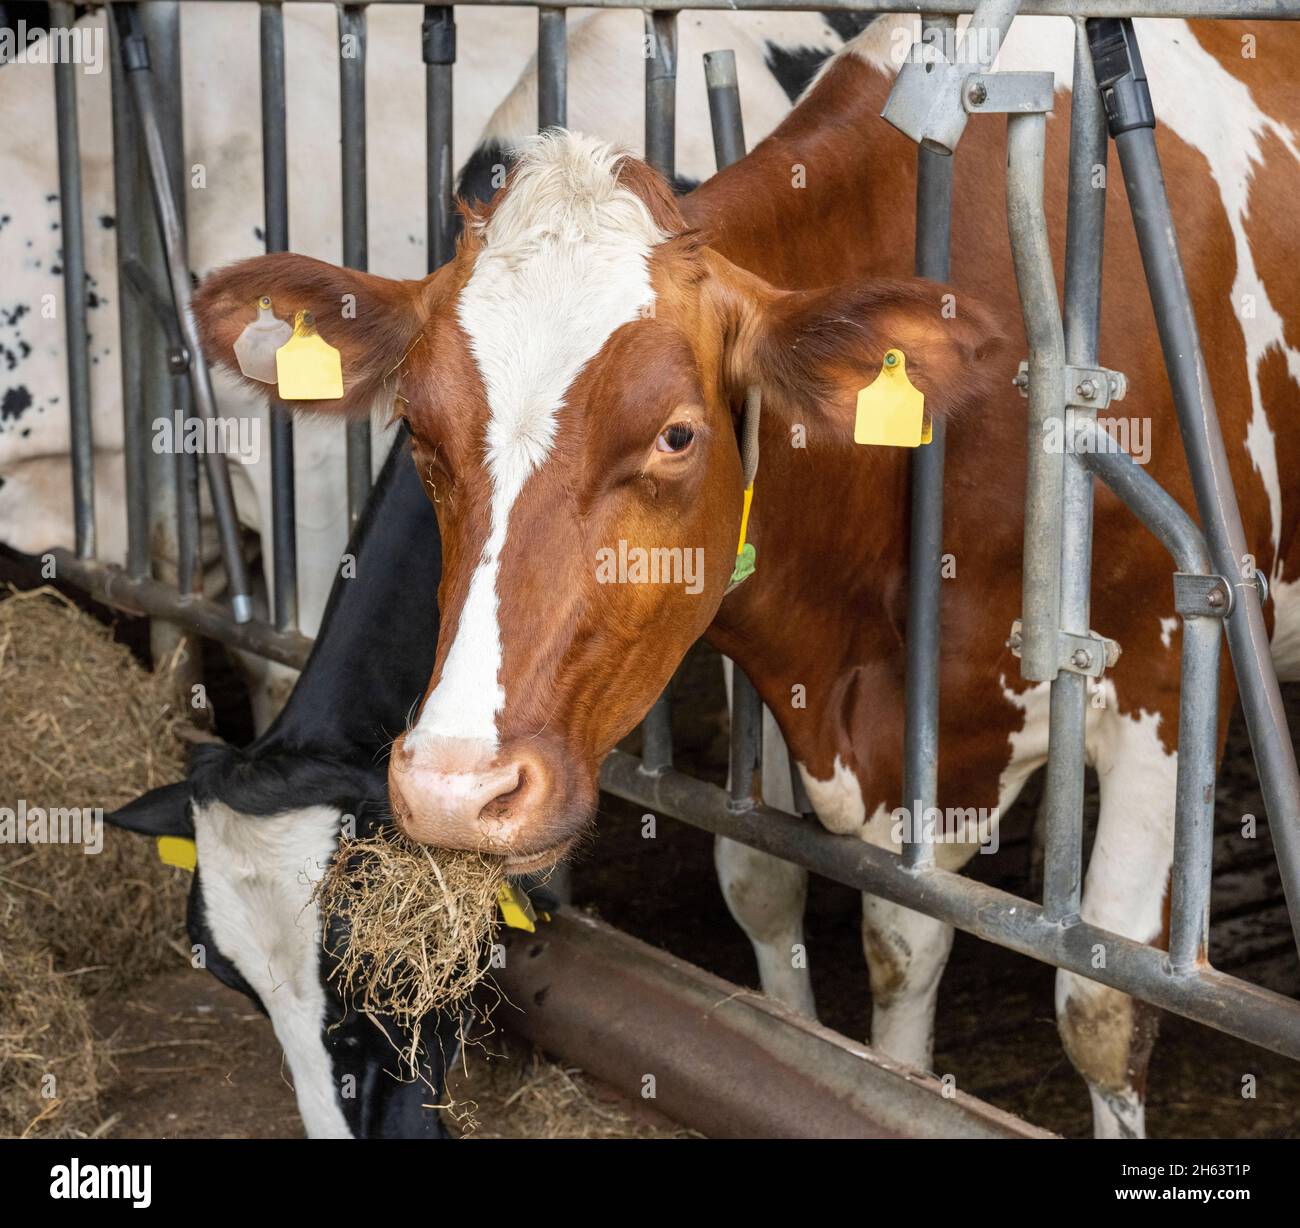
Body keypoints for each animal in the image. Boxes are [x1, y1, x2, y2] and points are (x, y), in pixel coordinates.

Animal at [187, 14, 1300, 1140]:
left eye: (677, 433)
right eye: (417, 430)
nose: (456, 787)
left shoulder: (1166, 673)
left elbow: (1100, 1001)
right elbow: (839, 915)